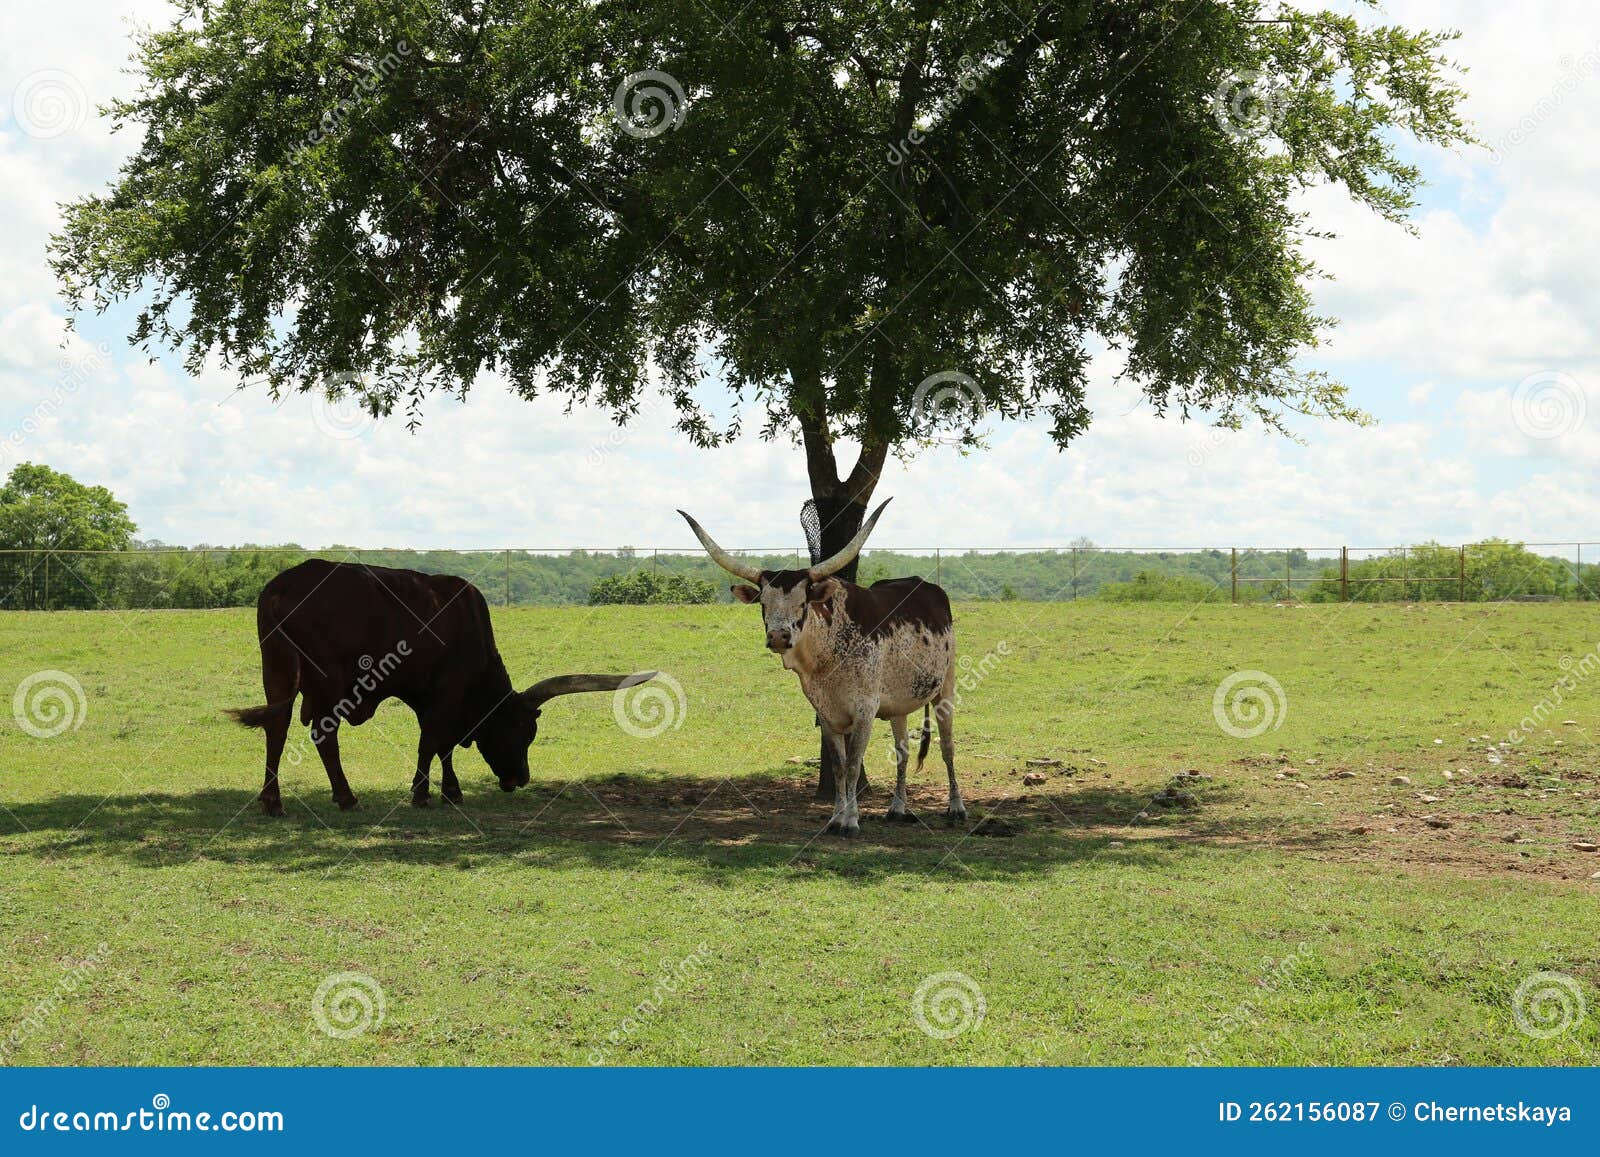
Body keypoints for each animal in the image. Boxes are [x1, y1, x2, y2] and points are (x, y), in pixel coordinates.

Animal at [227, 559, 654, 815]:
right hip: (328, 681)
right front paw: (423, 793)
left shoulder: (429, 697)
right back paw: (345, 797)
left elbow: (440, 744)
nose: (520, 779)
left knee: (277, 727)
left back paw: (273, 801)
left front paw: (449, 790)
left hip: (278, 671)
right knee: (322, 735)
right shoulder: (446, 693)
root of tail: (284, 585)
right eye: (521, 732)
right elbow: (432, 742)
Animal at [678, 499, 962, 837]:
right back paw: (897, 808)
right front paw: (836, 818)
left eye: (802, 603)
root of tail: (928, 587)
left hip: (946, 687)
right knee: (903, 750)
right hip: (899, 703)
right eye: (763, 604)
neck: (828, 653)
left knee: (947, 747)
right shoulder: (826, 712)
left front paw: (851, 821)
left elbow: (852, 765)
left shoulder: (865, 710)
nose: (778, 636)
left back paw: (956, 807)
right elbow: (838, 766)